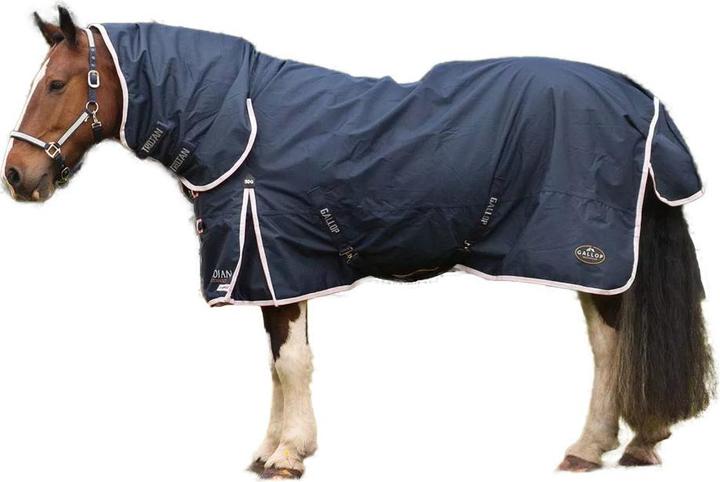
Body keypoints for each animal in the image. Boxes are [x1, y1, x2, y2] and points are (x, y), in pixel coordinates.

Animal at [2, 7, 714, 479]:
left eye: (57, 84)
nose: (17, 176)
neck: (242, 122)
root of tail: (640, 101)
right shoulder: (273, 267)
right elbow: (279, 363)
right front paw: (270, 449)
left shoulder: (276, 256)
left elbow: (291, 362)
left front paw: (288, 454)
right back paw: (633, 440)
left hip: (589, 256)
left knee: (611, 346)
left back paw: (593, 447)